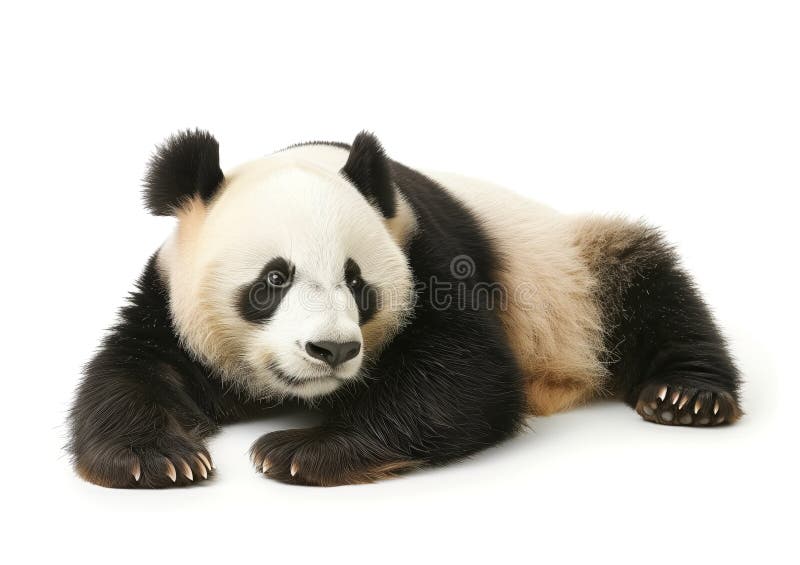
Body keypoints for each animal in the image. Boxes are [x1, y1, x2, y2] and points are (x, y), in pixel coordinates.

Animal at [68, 130, 742, 488]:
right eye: (273, 280)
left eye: (356, 280)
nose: (333, 350)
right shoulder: (168, 298)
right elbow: (133, 371)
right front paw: (160, 458)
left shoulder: (430, 251)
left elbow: (465, 379)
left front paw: (297, 449)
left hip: (574, 270)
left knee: (650, 285)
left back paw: (686, 396)